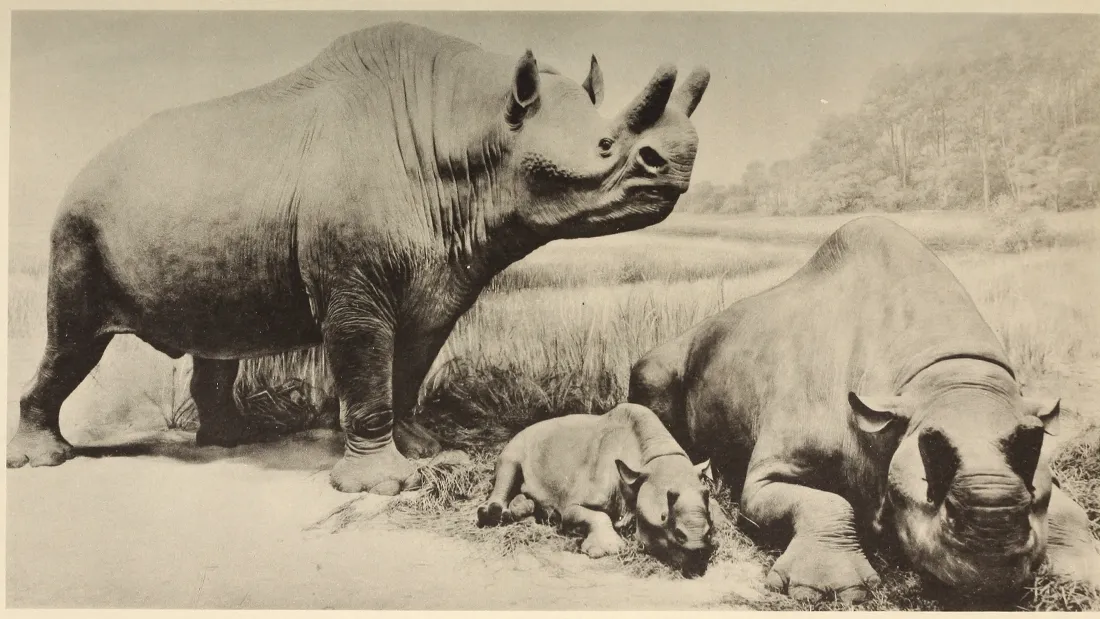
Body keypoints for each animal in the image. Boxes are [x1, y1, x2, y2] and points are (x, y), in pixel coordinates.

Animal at [7, 22, 711, 496]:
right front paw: (381, 485)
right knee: (72, 338)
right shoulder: (353, 286)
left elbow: (412, 361)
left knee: (214, 335)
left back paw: (231, 441)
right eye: (605, 146)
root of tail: (88, 164)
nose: (676, 165)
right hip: (79, 222)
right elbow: (367, 360)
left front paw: (422, 447)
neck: (474, 131)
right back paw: (42, 462)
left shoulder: (444, 273)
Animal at [476, 403, 717, 577]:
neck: (647, 461)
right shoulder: (572, 503)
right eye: (663, 517)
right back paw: (494, 513)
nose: (697, 549)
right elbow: (594, 515)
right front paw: (608, 549)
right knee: (509, 463)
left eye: (708, 517)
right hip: (519, 439)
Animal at [629, 216, 1100, 601]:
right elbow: (824, 502)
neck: (938, 377)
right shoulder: (770, 472)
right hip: (663, 360)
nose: (989, 566)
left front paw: (1081, 575)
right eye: (927, 487)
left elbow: (1067, 508)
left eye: (1031, 481)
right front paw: (827, 591)